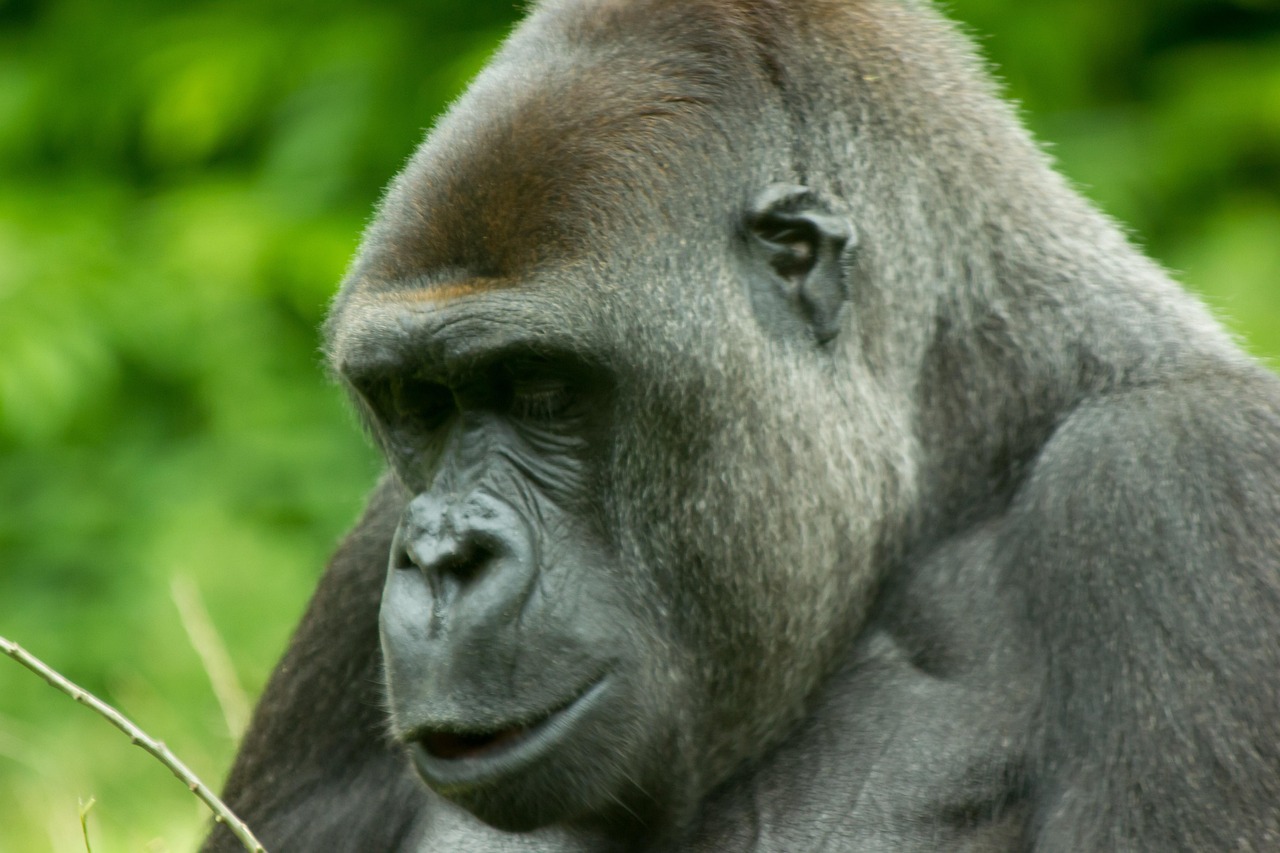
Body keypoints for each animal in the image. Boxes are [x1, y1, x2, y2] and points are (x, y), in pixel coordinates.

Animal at [205, 0, 1280, 850]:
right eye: (417, 402)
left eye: (540, 388)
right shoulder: (363, 557)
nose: (438, 556)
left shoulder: (1177, 468)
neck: (955, 434)